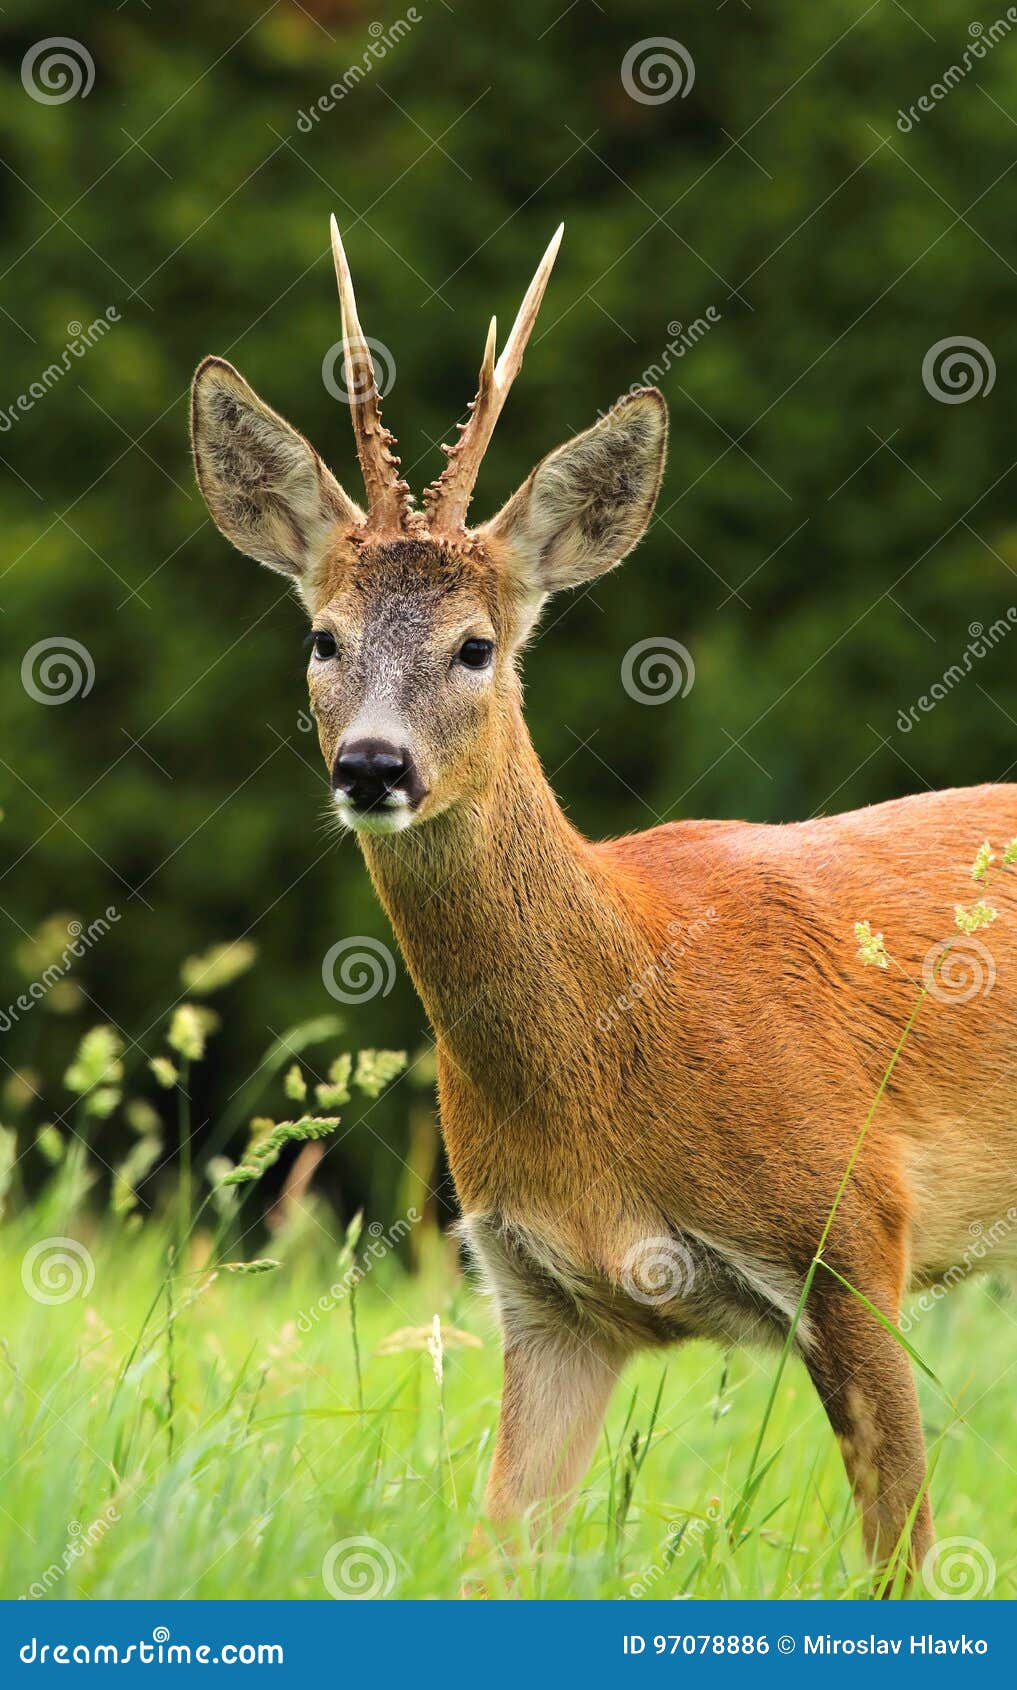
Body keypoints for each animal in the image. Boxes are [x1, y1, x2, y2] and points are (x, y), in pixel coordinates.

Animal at [190, 217, 1017, 1590]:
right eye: (321, 637)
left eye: (476, 645)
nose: (373, 765)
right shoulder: (541, 1299)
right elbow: (491, 1556)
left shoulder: (858, 1242)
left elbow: (903, 1552)